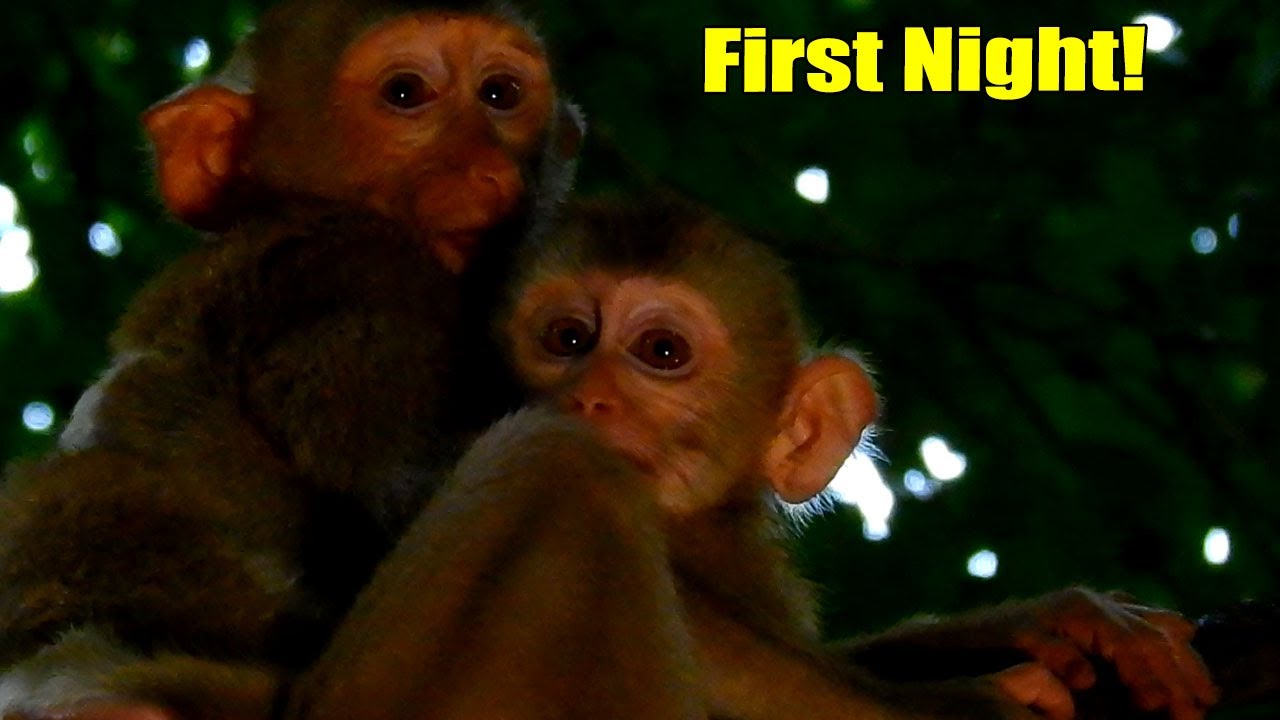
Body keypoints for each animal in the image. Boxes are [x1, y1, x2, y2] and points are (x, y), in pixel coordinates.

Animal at [283, 197, 1217, 720]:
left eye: (660, 352)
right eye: (569, 340)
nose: (587, 396)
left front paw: (1046, 622)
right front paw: (949, 712)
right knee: (560, 462)